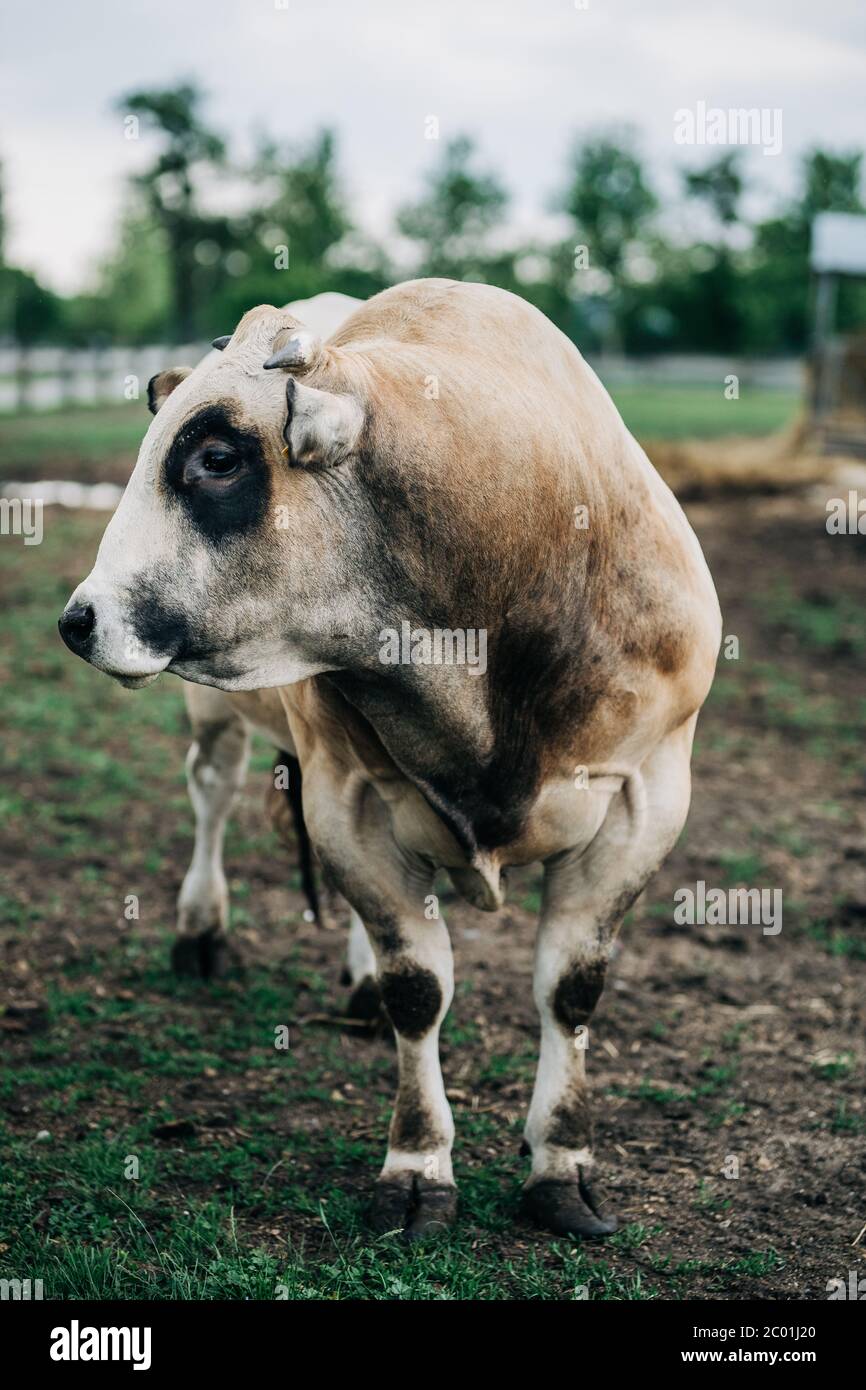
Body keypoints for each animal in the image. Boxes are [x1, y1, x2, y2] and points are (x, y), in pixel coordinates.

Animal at [59, 278, 721, 1238]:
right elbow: (419, 988)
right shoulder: (350, 801)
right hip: (217, 721)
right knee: (211, 795)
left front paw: (562, 1166)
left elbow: (571, 989)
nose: (79, 619)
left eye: (217, 457)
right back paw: (202, 931)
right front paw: (417, 1168)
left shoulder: (645, 797)